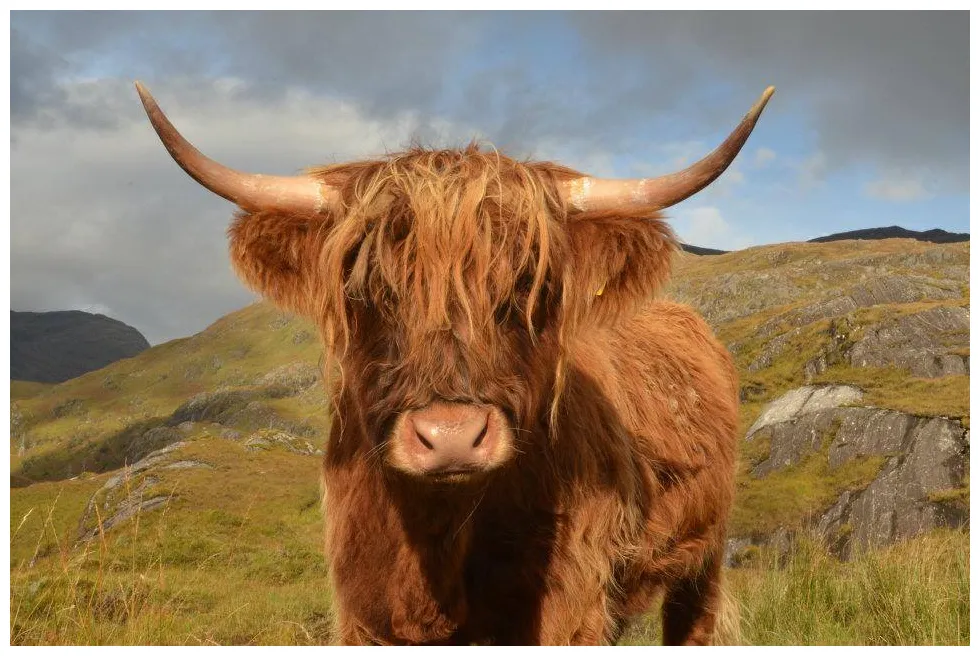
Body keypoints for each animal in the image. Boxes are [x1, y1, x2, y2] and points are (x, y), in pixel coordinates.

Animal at [136, 82, 774, 646]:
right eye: (363, 288)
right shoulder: (365, 608)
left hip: (702, 558)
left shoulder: (566, 602)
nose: (450, 438)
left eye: (526, 285)